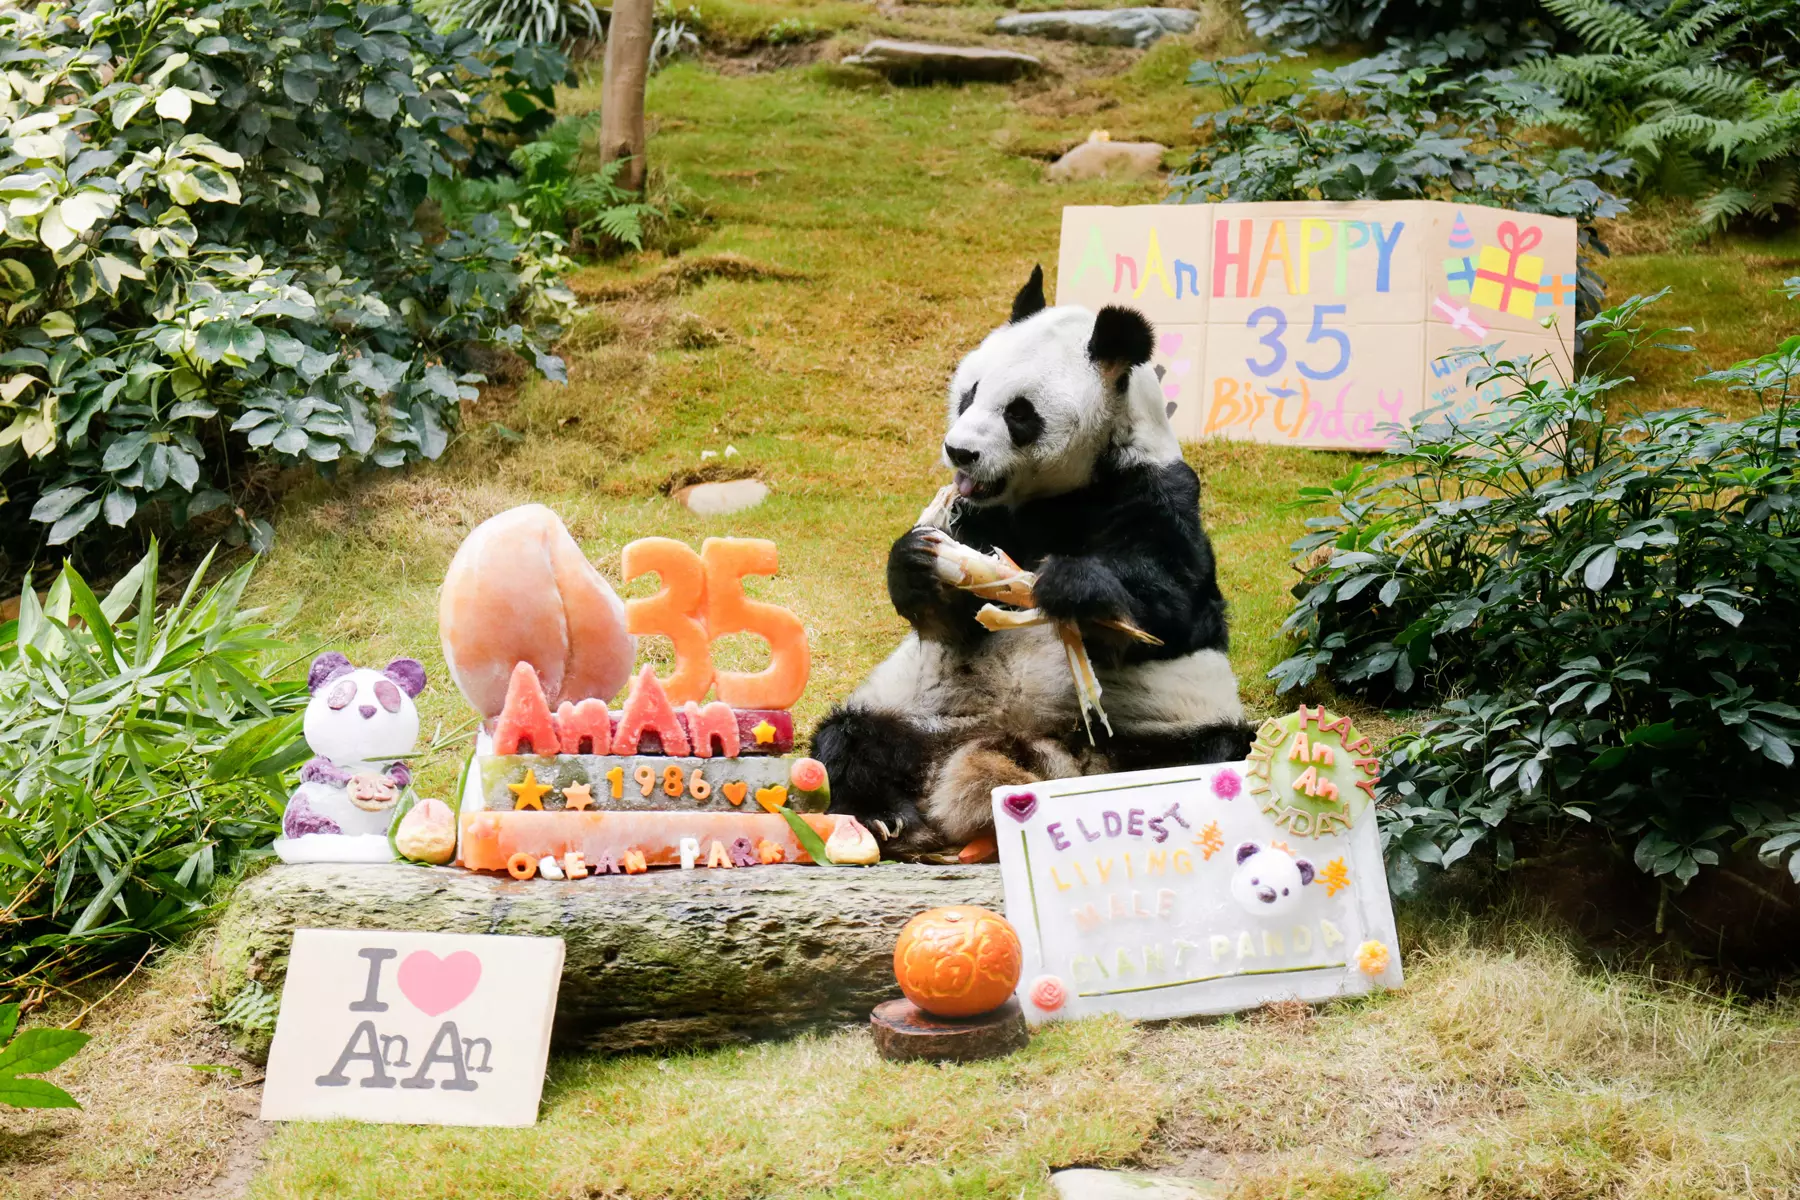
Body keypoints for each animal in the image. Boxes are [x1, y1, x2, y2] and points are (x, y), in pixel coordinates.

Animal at [817, 268, 1252, 859]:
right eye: (969, 393)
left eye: (1019, 413)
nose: (959, 452)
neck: (1053, 496)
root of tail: (1018, 750)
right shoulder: (980, 513)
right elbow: (952, 621)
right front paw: (918, 558)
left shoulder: (1154, 488)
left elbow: (1175, 599)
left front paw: (1071, 585)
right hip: (916, 710)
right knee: (846, 739)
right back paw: (889, 817)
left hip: (1168, 720)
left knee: (1215, 753)